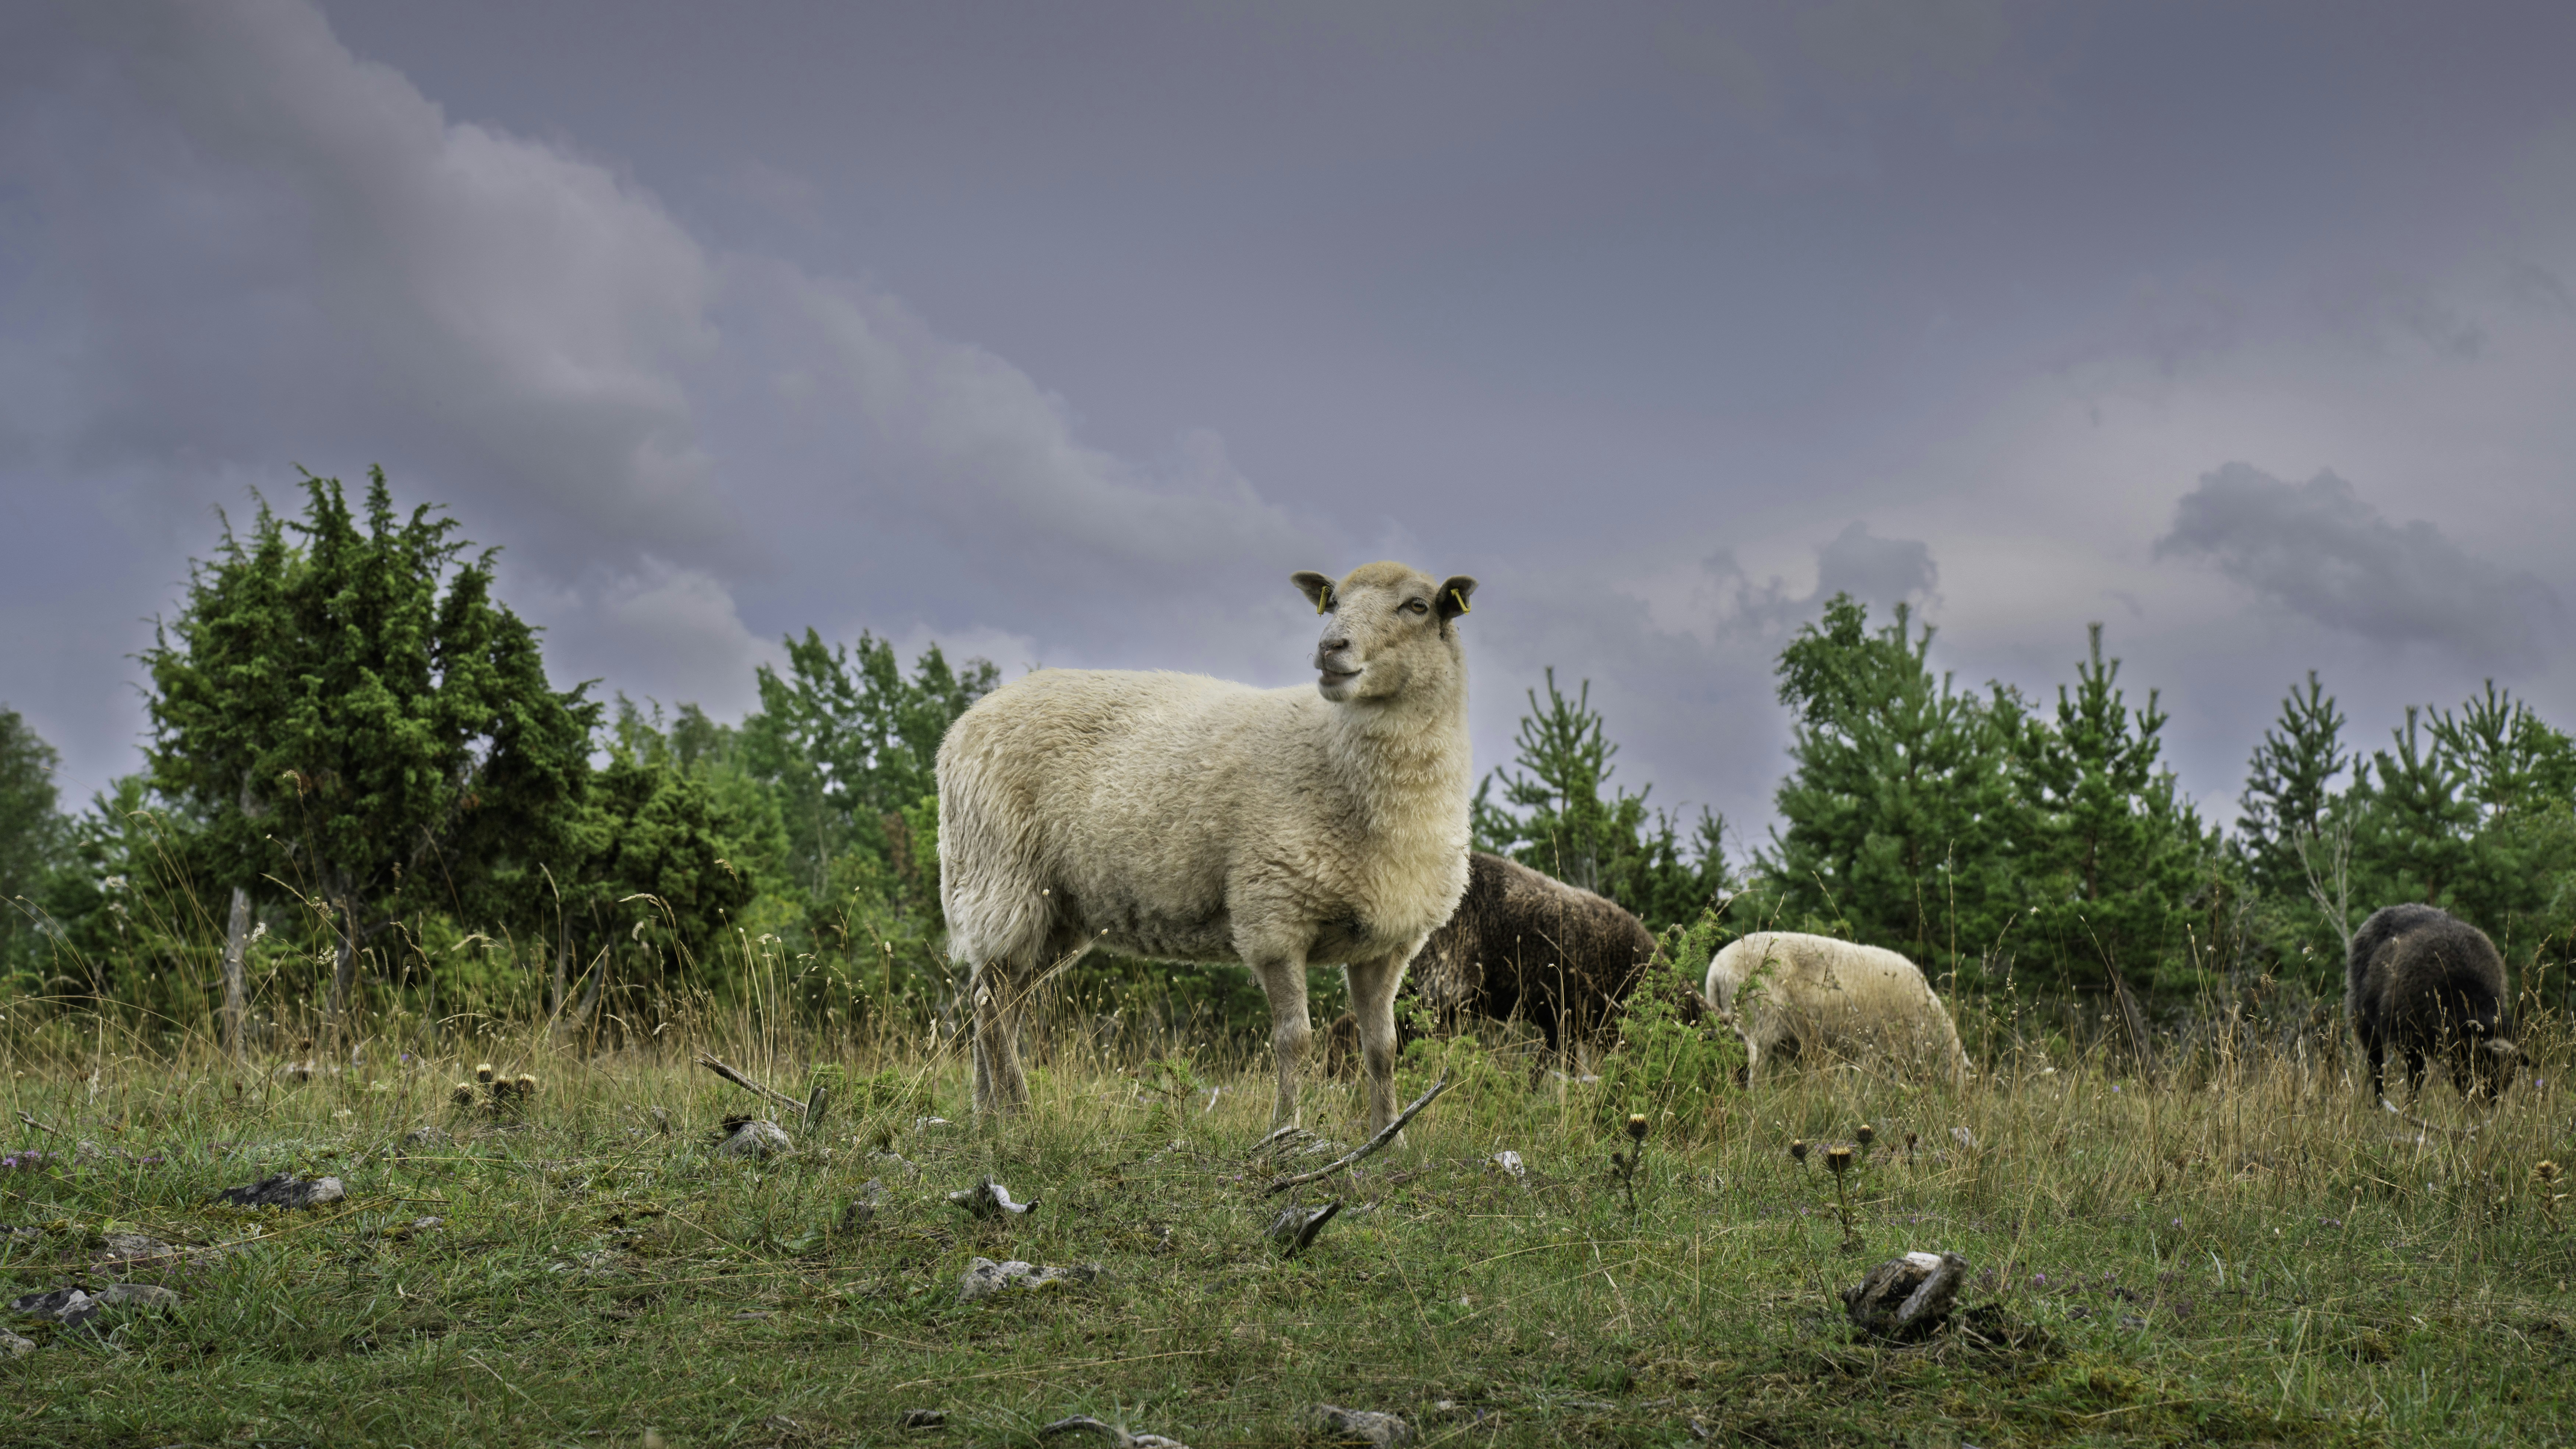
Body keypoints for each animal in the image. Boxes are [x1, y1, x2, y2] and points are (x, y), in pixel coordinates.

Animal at [937, 560, 1479, 1135]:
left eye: (1417, 606)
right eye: (1332, 604)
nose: (1331, 647)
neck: (1335, 755)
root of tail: (964, 723)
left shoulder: (1389, 942)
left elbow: (1382, 1048)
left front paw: (1389, 1137)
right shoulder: (1273, 916)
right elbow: (1295, 1040)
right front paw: (1285, 1134)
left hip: (1055, 912)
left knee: (996, 1000)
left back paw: (988, 1118)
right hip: (1002, 880)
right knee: (992, 1007)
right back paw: (1019, 1115)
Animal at [2347, 902, 2518, 1103]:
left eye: (2508, 1080)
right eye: (2480, 1068)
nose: (2485, 1105)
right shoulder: (2413, 1043)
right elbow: (2414, 1083)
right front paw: (2410, 1108)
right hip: (2366, 1022)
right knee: (2376, 1068)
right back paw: (2380, 1104)